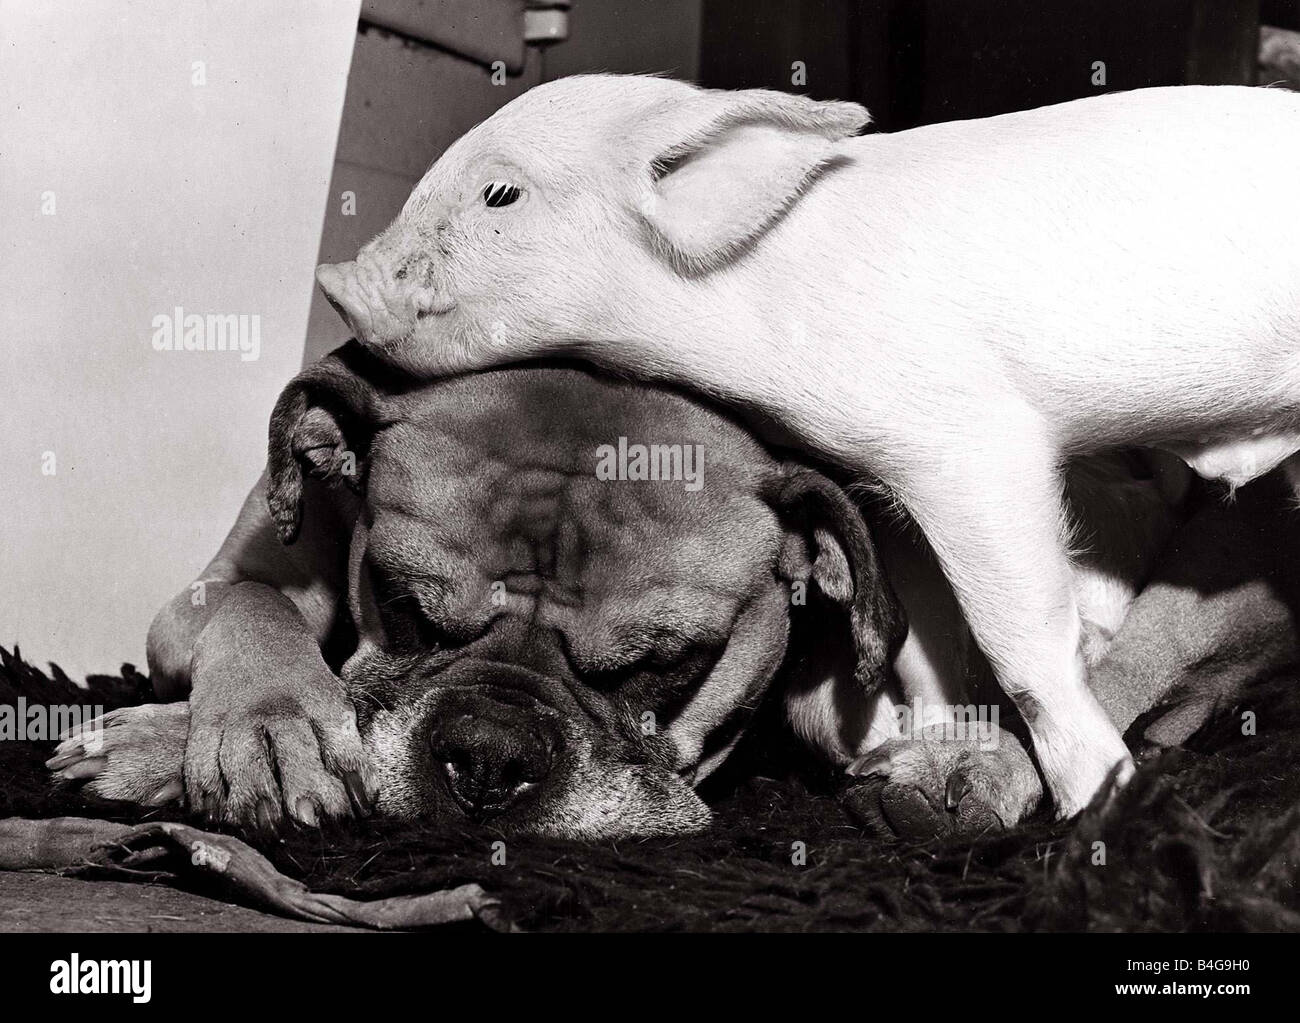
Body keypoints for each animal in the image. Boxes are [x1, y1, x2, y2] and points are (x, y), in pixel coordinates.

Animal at [313, 75, 1300, 817]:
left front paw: (1094, 802)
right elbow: (920, 634)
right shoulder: (878, 485)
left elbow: (1019, 639)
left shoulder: (970, 442)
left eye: (500, 193)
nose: (334, 278)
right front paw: (899, 752)